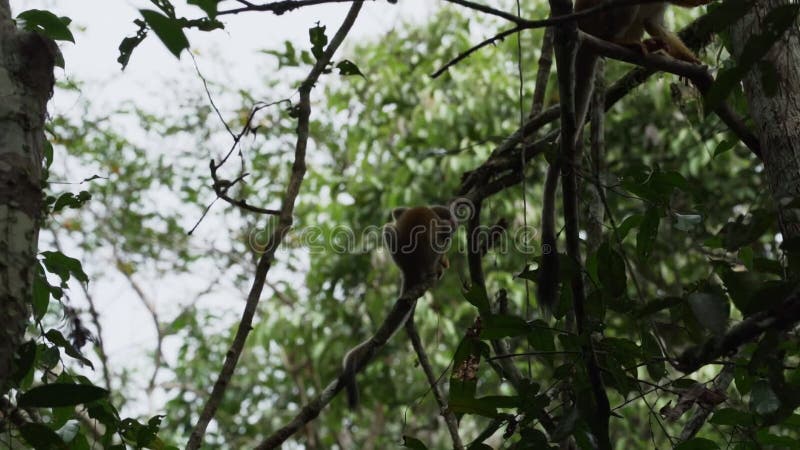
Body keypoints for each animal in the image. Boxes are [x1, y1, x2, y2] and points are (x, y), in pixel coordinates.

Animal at [341, 205, 456, 409]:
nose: (455, 228)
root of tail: (412, 269)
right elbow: (441, 232)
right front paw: (444, 259)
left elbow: (397, 212)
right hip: (428, 257)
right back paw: (435, 267)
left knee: (389, 228)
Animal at [537, 0, 711, 315]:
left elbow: (655, 24)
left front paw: (691, 62)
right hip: (594, 21)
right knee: (623, 7)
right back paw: (620, 42)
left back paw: (651, 47)